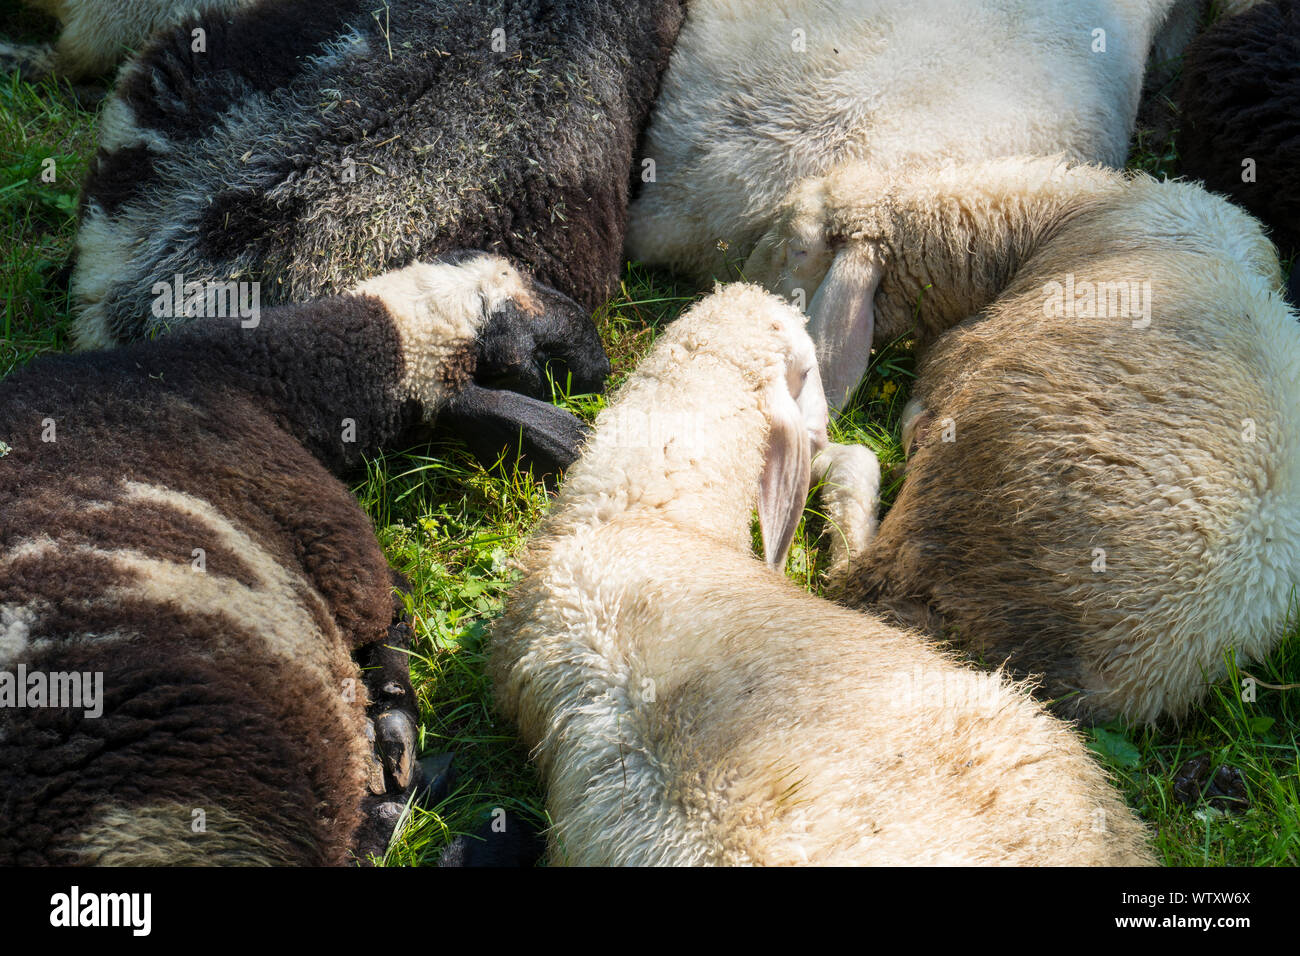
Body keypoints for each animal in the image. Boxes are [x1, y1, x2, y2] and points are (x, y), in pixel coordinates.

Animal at [0, 253, 592, 865]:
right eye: (537, 292)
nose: (599, 364)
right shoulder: (334, 541)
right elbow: (394, 605)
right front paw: (394, 727)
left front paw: (391, 728)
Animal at [800, 158, 1300, 724]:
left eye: (795, 244)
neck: (1062, 214)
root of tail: (1131, 677)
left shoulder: (969, 350)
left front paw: (912, 425)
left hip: (970, 494)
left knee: (854, 577)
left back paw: (845, 464)